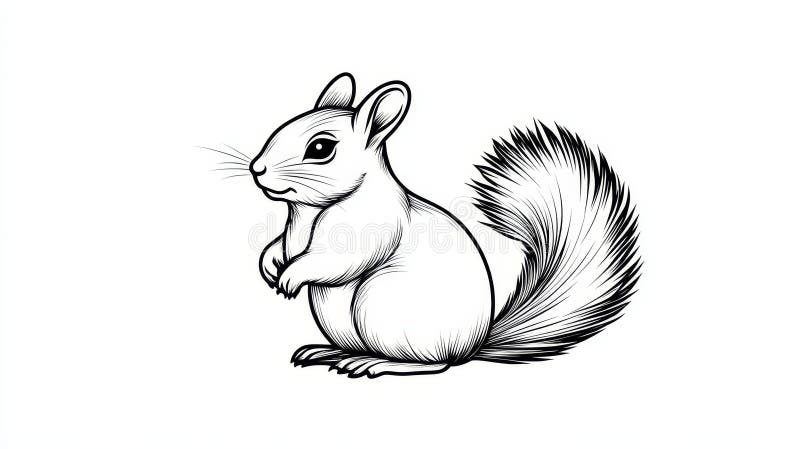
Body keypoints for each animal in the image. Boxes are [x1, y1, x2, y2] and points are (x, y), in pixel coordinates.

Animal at [248, 73, 641, 378]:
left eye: (320, 148)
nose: (257, 169)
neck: (309, 211)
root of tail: (473, 346)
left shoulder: (368, 226)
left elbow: (336, 260)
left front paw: (290, 276)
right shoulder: (292, 229)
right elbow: (280, 245)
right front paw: (270, 264)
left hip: (385, 309)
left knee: (435, 364)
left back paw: (375, 363)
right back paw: (329, 352)